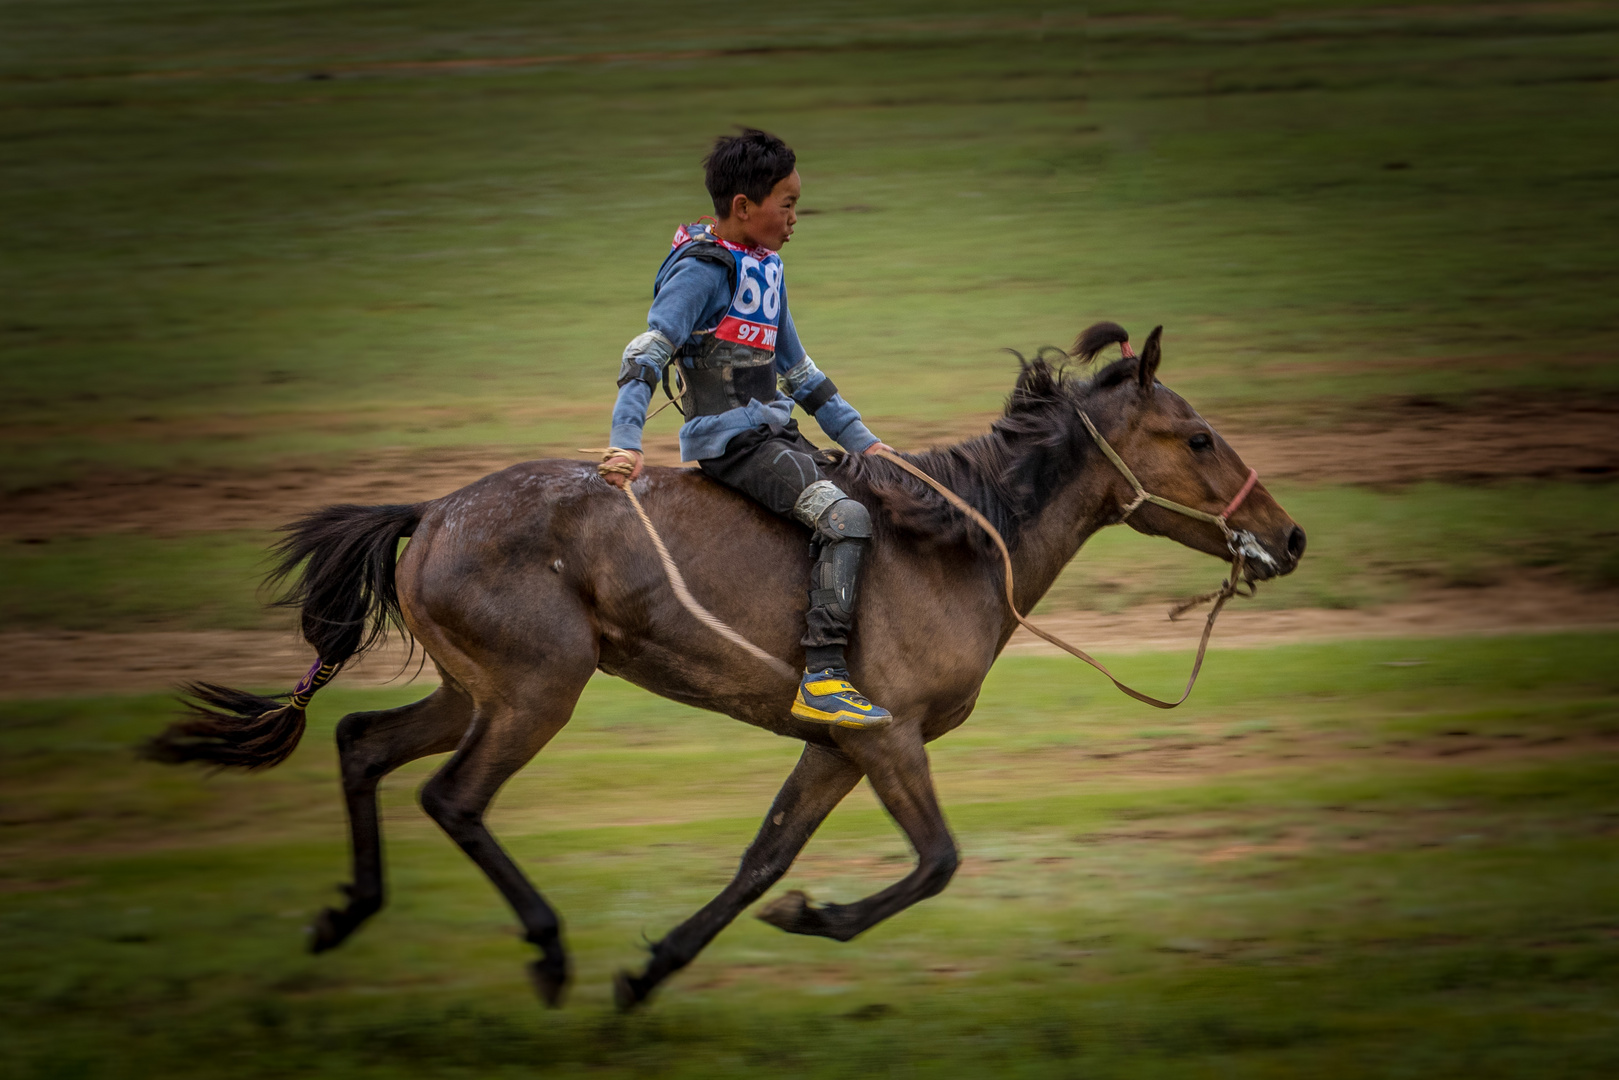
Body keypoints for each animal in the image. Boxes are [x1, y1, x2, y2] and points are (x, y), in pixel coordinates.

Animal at [147, 322, 1306, 1010]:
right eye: (1198, 437)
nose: (1288, 538)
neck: (957, 544)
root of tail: (430, 512)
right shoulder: (888, 738)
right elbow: (934, 862)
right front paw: (817, 921)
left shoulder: (838, 746)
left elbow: (761, 859)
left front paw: (652, 971)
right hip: (534, 693)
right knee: (453, 797)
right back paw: (546, 948)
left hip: (468, 689)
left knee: (358, 743)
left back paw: (348, 910)